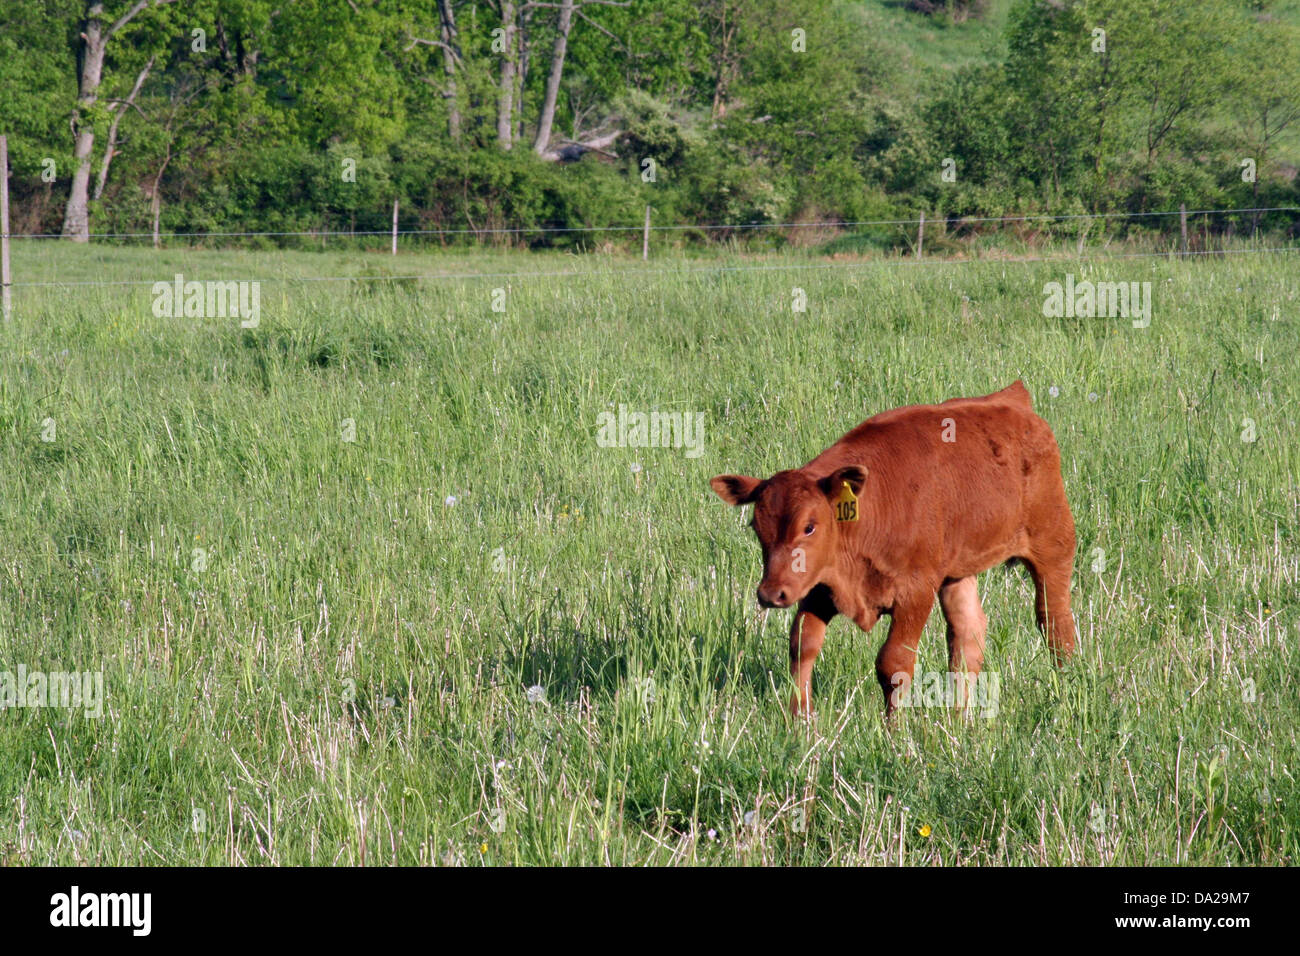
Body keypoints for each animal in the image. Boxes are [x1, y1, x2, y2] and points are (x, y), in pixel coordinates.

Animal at [709, 381, 1076, 718]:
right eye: (756, 527)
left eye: (809, 526)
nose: (771, 593)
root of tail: (1013, 400)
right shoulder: (819, 587)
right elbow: (803, 644)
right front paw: (799, 720)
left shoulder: (916, 592)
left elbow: (894, 663)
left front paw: (894, 731)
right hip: (957, 573)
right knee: (967, 635)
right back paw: (960, 717)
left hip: (1053, 545)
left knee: (1054, 622)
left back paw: (1066, 689)